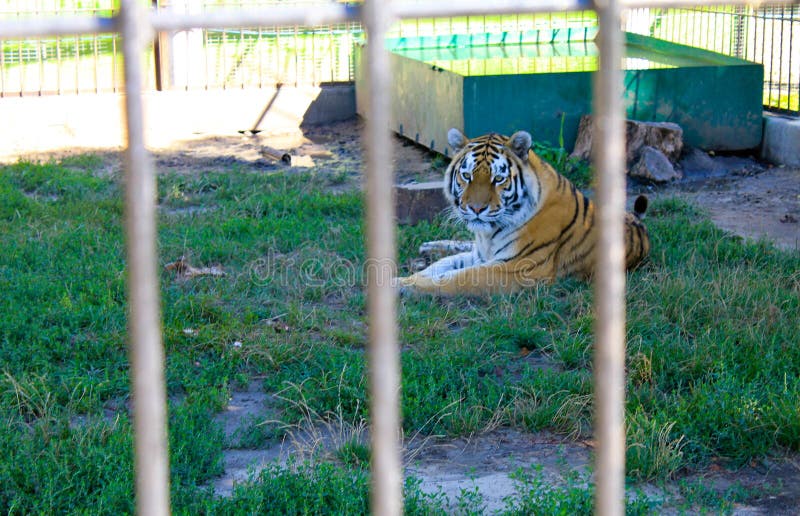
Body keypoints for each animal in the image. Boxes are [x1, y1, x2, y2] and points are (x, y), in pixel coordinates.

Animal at [397, 128, 650, 296]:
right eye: (467, 176)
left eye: (498, 179)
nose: (476, 209)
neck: (488, 235)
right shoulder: (483, 255)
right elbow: (441, 267)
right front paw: (411, 276)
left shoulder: (518, 268)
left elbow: (455, 278)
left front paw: (399, 285)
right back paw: (428, 247)